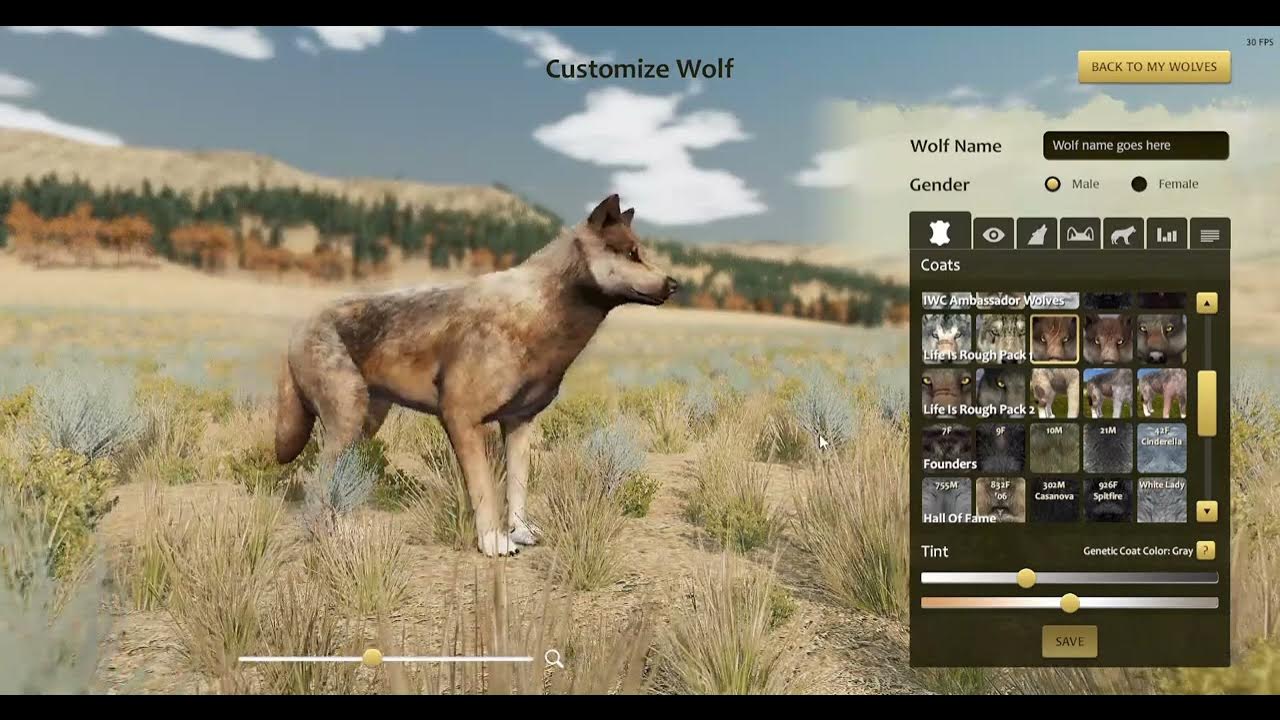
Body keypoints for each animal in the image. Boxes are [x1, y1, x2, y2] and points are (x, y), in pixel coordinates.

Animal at [274, 195, 679, 556]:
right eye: (631, 254)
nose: (675, 284)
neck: (539, 315)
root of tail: (297, 328)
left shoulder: (519, 423)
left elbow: (517, 488)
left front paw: (520, 532)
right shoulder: (460, 418)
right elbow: (484, 491)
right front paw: (493, 542)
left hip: (364, 427)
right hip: (347, 422)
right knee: (317, 483)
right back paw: (329, 535)